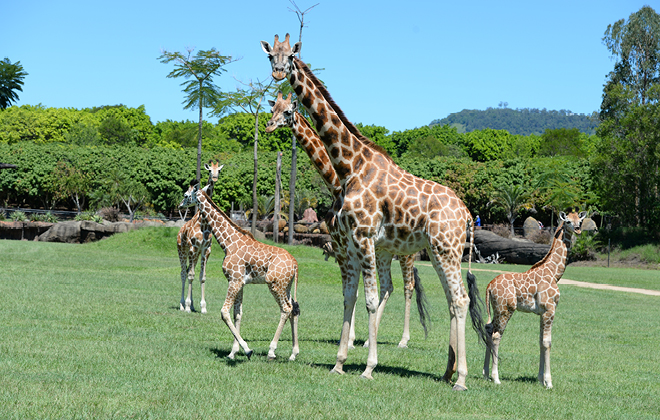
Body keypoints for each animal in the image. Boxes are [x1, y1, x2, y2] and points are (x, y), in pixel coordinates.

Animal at [177, 160, 224, 314]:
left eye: (218, 170)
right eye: (209, 170)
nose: (180, 205)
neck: (202, 222)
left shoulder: (205, 249)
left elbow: (202, 276)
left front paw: (203, 307)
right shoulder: (192, 248)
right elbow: (190, 275)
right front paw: (186, 306)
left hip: (195, 255)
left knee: (188, 271)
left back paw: (191, 305)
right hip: (182, 251)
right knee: (183, 273)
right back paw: (182, 305)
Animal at [179, 183, 300, 361]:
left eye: (186, 195)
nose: (180, 205)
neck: (228, 243)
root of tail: (295, 264)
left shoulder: (234, 280)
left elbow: (224, 312)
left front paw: (247, 349)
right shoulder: (241, 282)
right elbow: (238, 314)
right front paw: (233, 352)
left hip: (274, 284)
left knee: (286, 309)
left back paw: (271, 351)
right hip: (287, 285)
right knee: (295, 308)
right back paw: (293, 353)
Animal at [265, 91, 430, 349]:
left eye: (287, 111)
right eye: (272, 109)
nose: (269, 125)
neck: (336, 183)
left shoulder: (348, 245)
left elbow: (355, 291)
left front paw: (350, 340)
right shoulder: (347, 246)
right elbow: (350, 291)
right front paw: (351, 338)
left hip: (406, 255)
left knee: (408, 286)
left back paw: (403, 340)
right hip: (385, 253)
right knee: (388, 286)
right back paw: (371, 339)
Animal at [483, 211, 586, 389]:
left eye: (579, 220)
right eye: (567, 221)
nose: (578, 229)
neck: (554, 273)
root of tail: (489, 286)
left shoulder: (542, 312)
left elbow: (540, 342)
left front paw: (540, 379)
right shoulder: (550, 309)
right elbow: (547, 342)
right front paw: (549, 382)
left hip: (497, 309)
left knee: (488, 329)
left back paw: (486, 373)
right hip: (506, 309)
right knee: (496, 336)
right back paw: (496, 378)